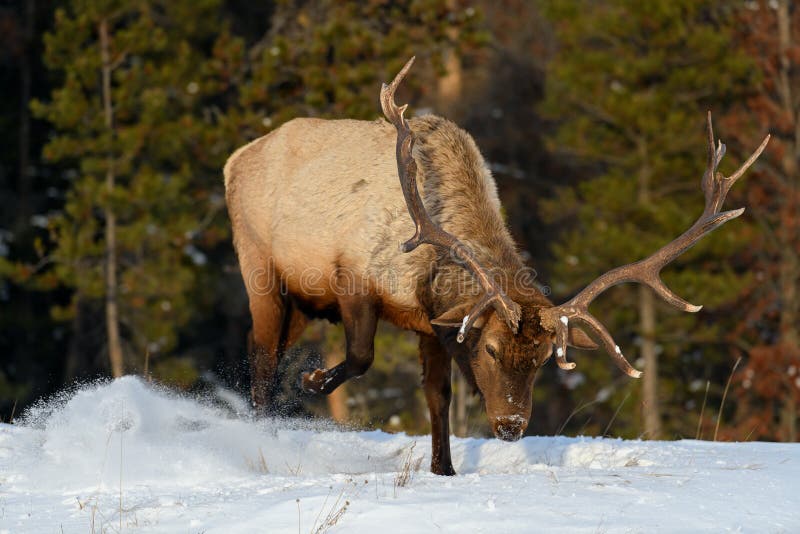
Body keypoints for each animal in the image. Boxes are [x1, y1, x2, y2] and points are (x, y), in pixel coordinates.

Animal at [223, 57, 769, 475]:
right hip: (259, 266)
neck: (427, 266)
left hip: (301, 304)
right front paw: (312, 382)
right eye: (488, 348)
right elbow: (361, 357)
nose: (510, 427)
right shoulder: (354, 277)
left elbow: (438, 396)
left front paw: (444, 469)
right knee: (262, 358)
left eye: (545, 357)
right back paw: (262, 435)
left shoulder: (433, 322)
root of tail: (235, 158)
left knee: (262, 349)